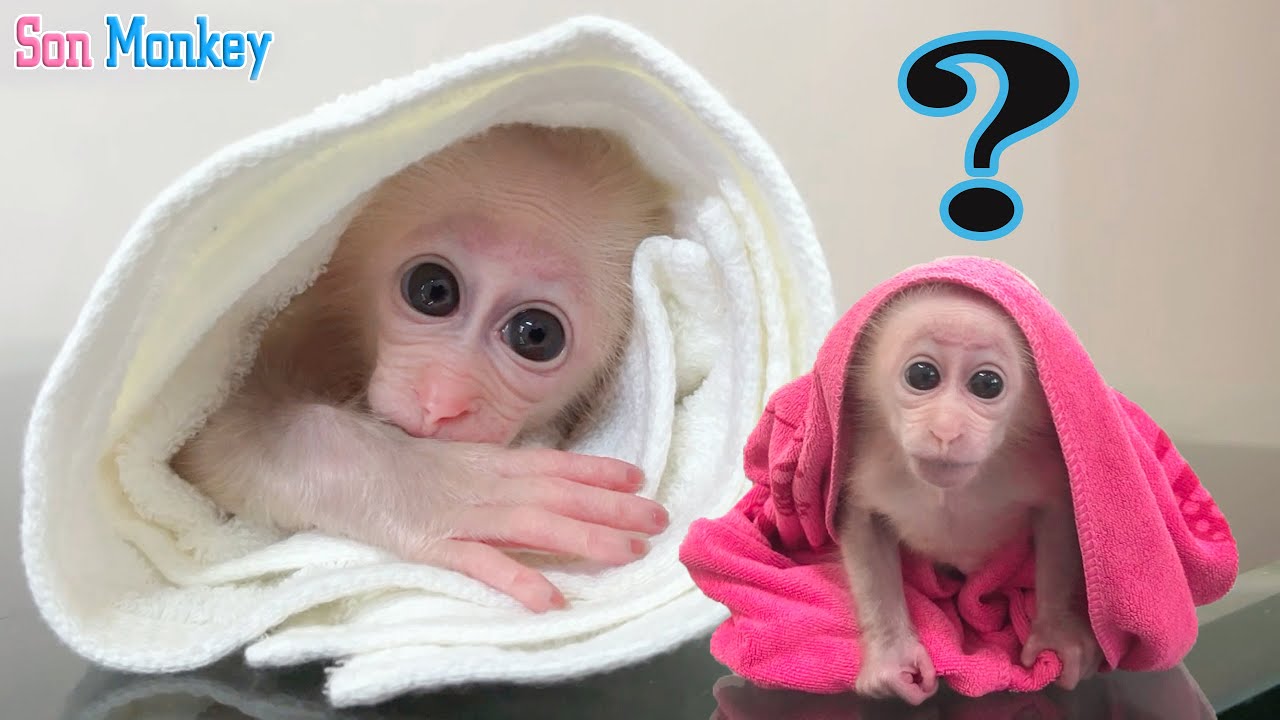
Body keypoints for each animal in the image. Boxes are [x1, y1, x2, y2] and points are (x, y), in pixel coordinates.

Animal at [837, 282, 1101, 705]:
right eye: (922, 375)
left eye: (986, 384)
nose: (946, 430)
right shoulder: (871, 461)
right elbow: (862, 522)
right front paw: (892, 655)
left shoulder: (1034, 460)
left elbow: (1061, 513)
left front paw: (1056, 630)